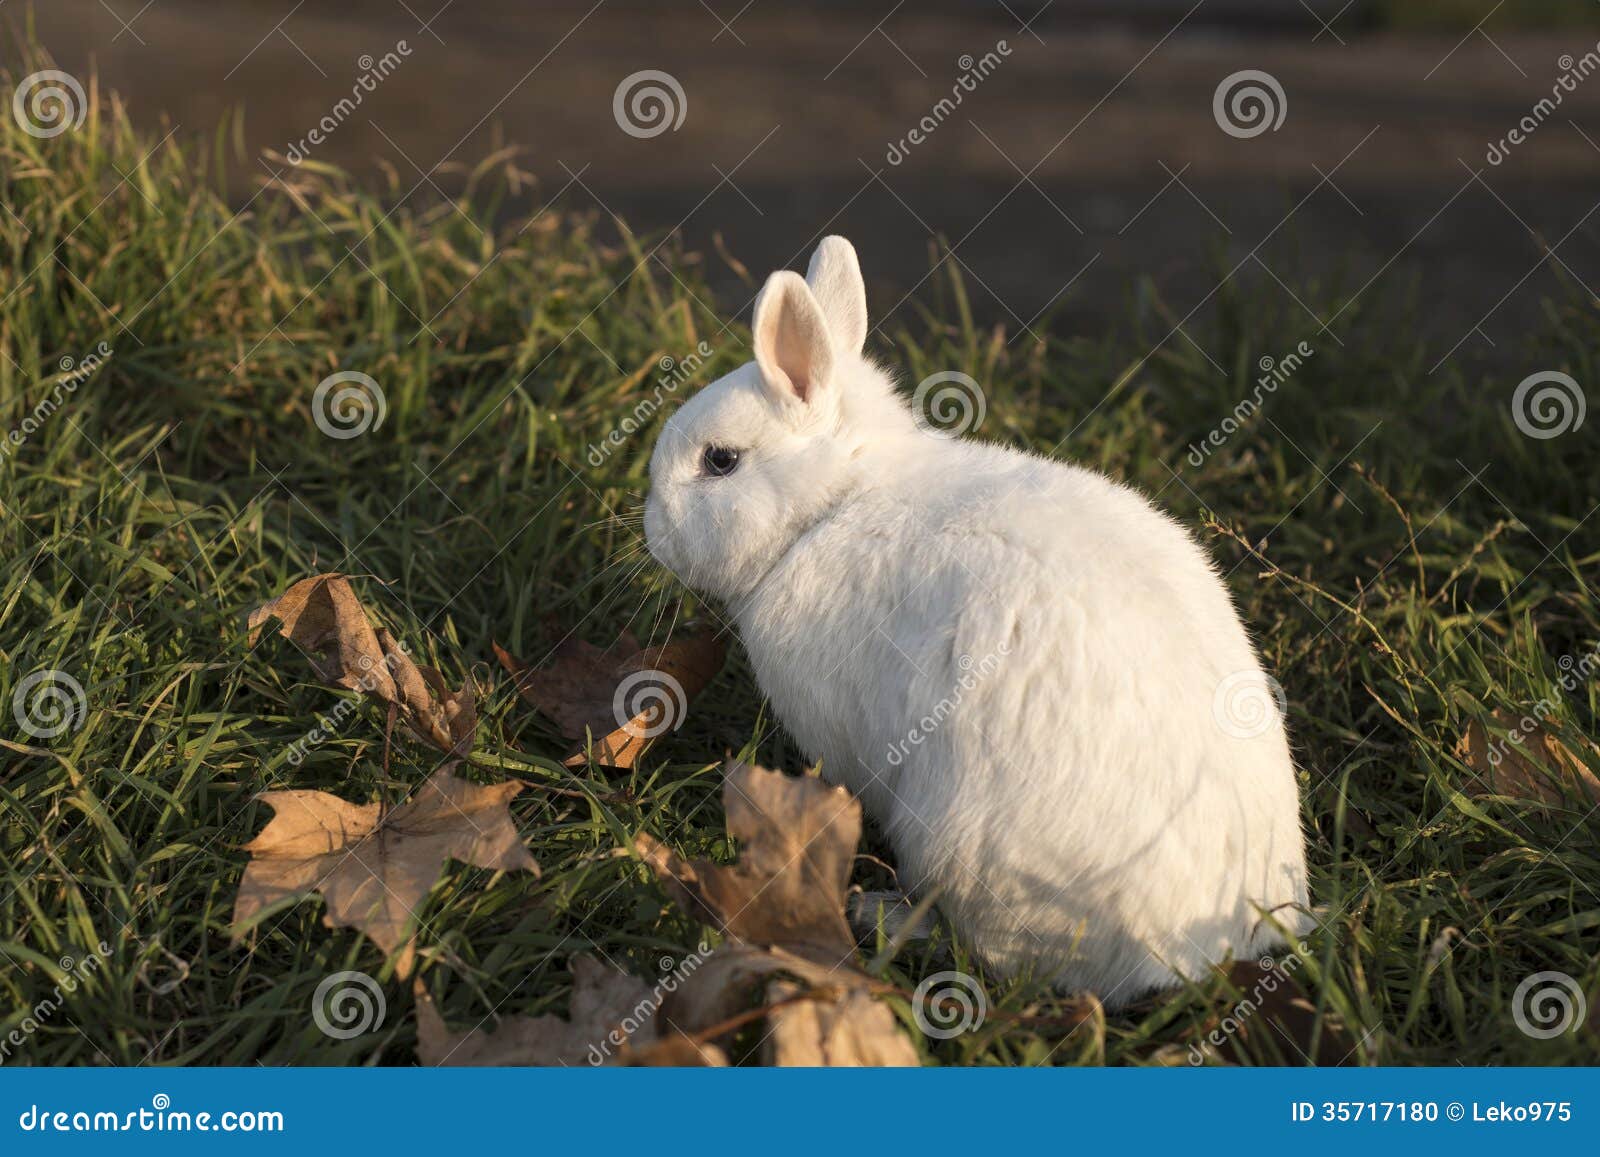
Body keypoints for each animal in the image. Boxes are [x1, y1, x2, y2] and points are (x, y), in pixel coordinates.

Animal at [643, 236, 1309, 1006]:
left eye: (721, 461)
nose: (652, 529)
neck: (835, 503)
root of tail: (1198, 947)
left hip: (955, 840)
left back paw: (879, 912)